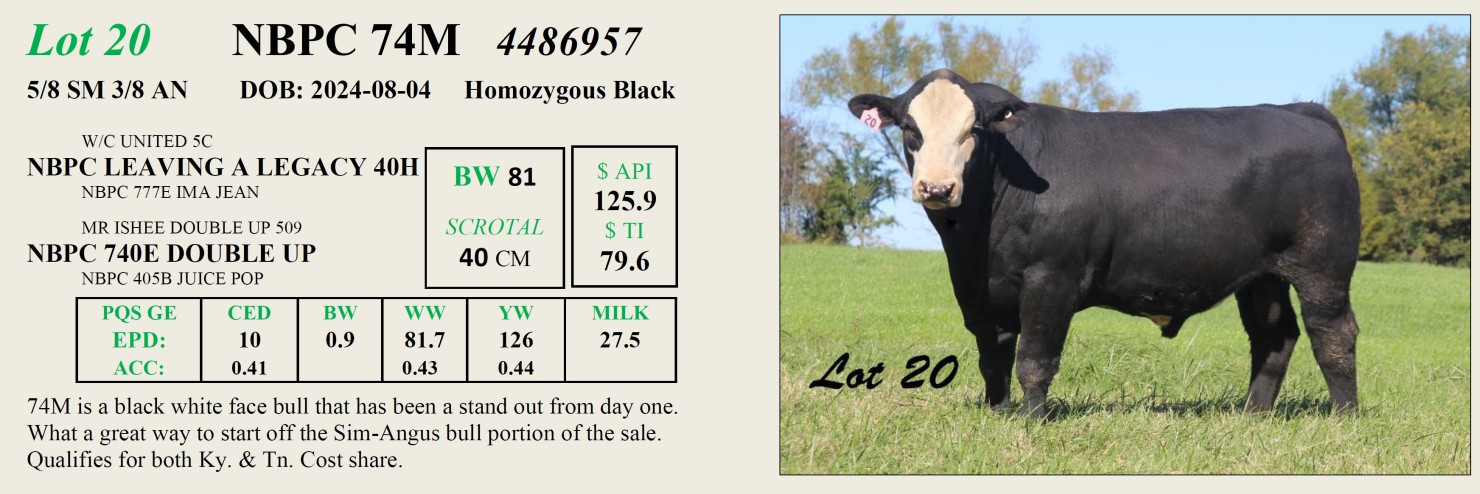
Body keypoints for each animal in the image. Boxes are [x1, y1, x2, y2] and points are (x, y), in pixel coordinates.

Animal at [849, 69, 1361, 417]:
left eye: (972, 130)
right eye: (910, 129)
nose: (936, 187)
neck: (976, 238)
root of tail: (1301, 110)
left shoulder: (1051, 278)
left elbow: (1034, 358)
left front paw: (1031, 421)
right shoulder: (977, 288)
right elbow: (993, 356)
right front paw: (998, 413)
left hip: (1323, 267)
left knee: (1333, 334)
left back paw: (1342, 416)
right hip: (1262, 275)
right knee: (1274, 335)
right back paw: (1252, 414)